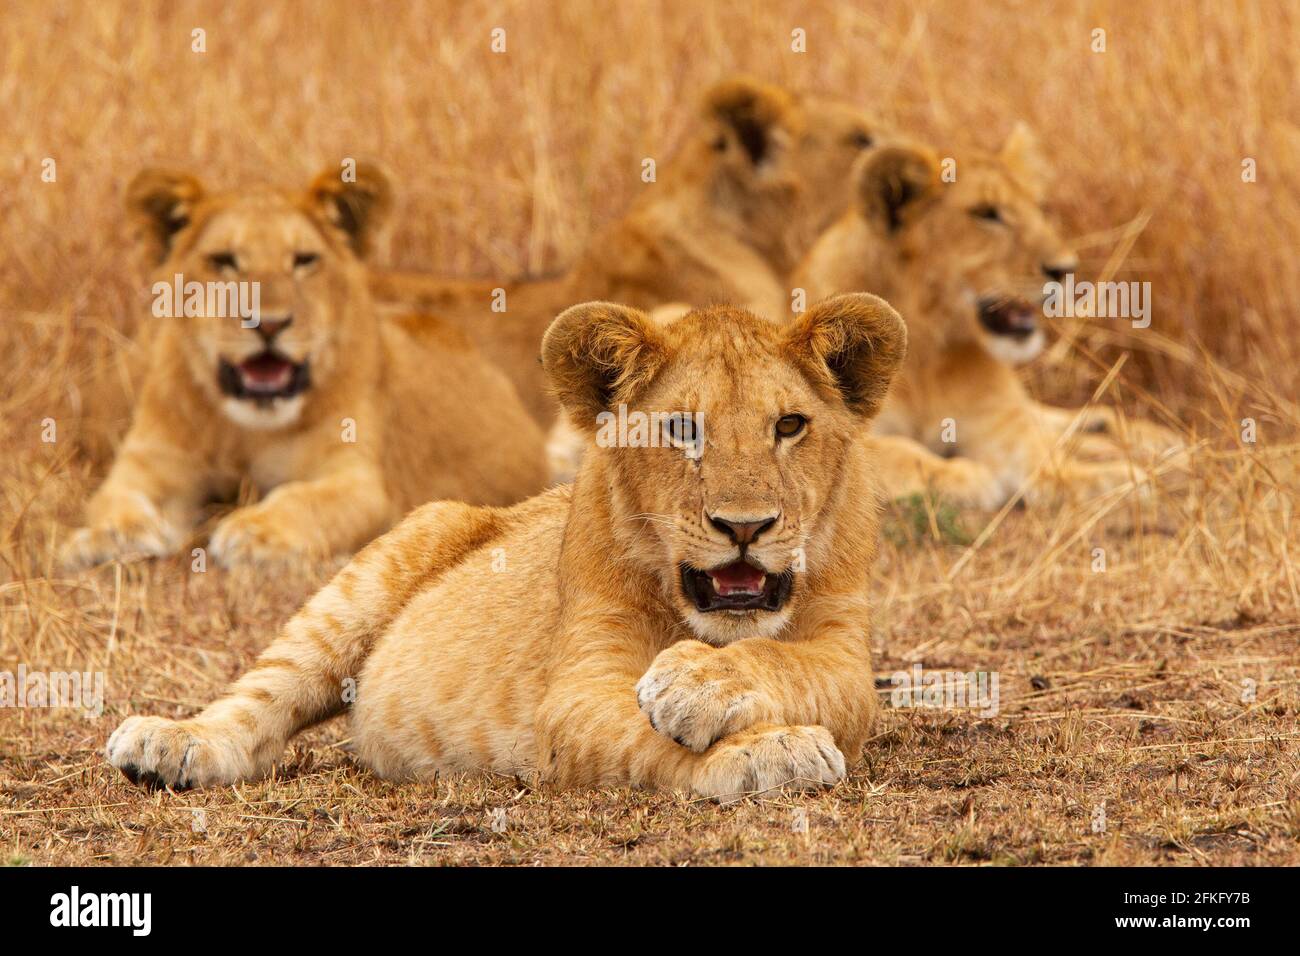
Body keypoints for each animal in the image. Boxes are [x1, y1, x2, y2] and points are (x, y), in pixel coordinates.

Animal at [62, 164, 547, 569]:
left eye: (303, 260)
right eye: (223, 260)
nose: (268, 323)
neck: (245, 433)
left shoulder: (358, 479)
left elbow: (302, 498)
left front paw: (252, 532)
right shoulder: (148, 461)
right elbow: (113, 498)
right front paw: (109, 535)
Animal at [104, 294, 907, 802]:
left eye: (789, 426)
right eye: (682, 429)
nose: (745, 526)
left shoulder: (843, 653)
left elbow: (786, 660)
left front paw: (702, 683)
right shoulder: (577, 688)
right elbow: (651, 741)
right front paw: (765, 749)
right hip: (394, 554)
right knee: (261, 704)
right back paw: (170, 746)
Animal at [792, 127, 1183, 508]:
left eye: (1039, 209)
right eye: (986, 213)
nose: (1066, 269)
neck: (928, 356)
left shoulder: (999, 424)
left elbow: (1046, 461)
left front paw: (1120, 479)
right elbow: (891, 449)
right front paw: (962, 476)